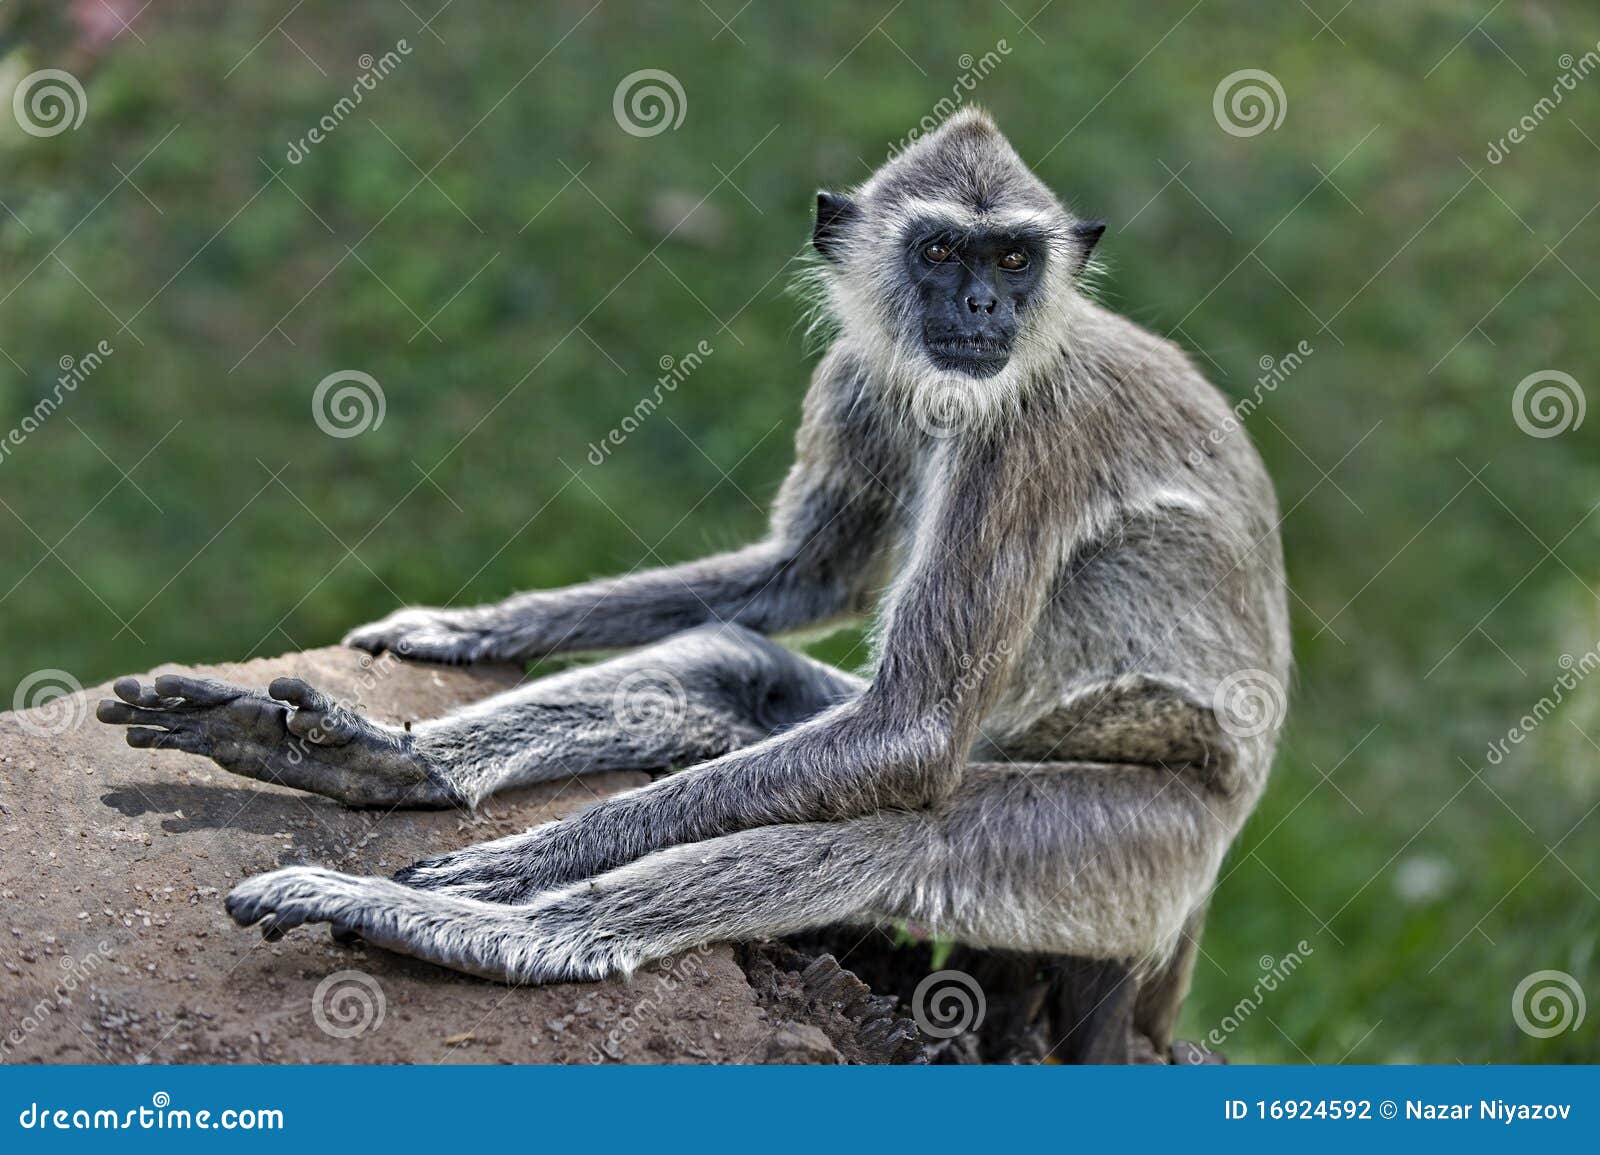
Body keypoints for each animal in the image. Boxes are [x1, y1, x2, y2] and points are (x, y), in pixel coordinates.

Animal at [98, 109, 1288, 1052]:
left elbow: (908, 734)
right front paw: (470, 630)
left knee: (894, 829)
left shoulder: (1025, 436)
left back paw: (503, 934)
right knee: (731, 669)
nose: (986, 313)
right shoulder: (862, 374)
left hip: (1136, 847)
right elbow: (803, 581)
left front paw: (512, 869)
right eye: (944, 250)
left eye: (1012, 265)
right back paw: (386, 765)